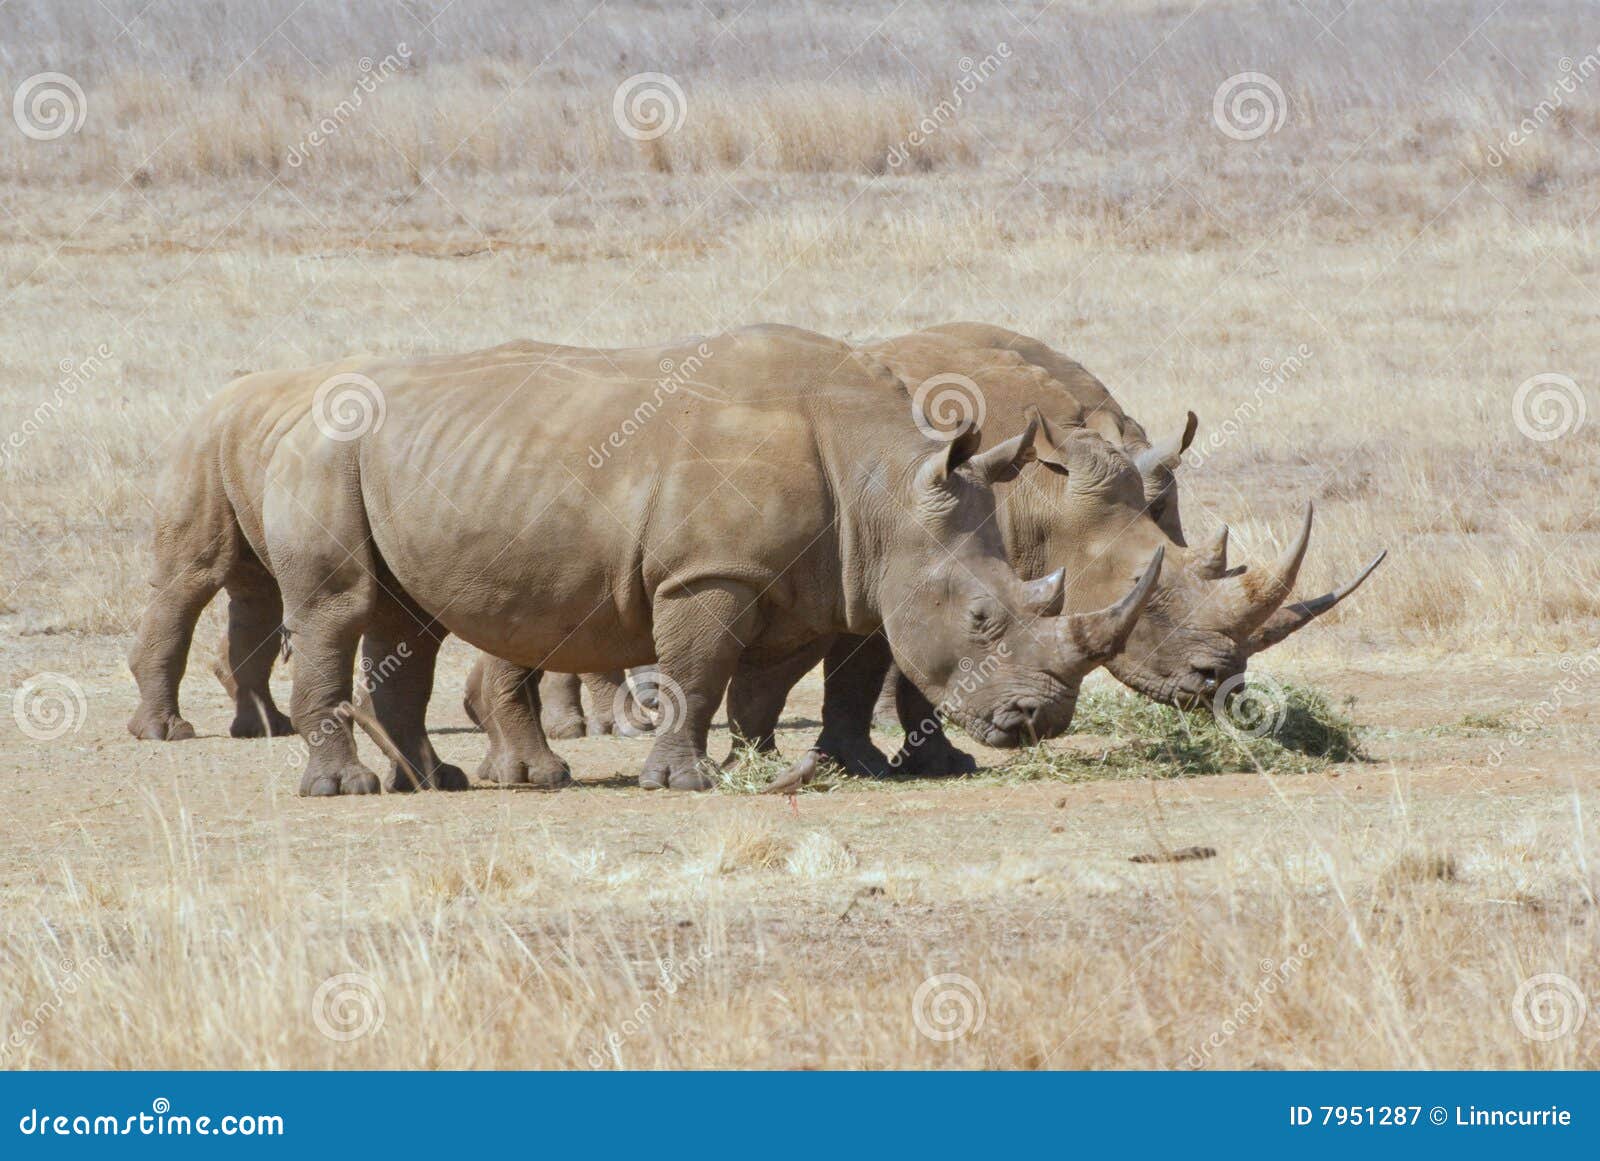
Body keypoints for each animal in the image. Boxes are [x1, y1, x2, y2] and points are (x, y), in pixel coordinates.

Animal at [127, 325, 1161, 794]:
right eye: (983, 617)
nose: (1039, 721)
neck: (883, 480)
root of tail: (295, 401)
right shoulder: (709, 573)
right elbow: (697, 673)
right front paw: (684, 781)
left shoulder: (848, 575)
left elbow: (821, 673)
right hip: (319, 456)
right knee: (336, 610)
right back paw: (347, 791)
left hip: (389, 462)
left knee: (404, 624)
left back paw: (442, 782)